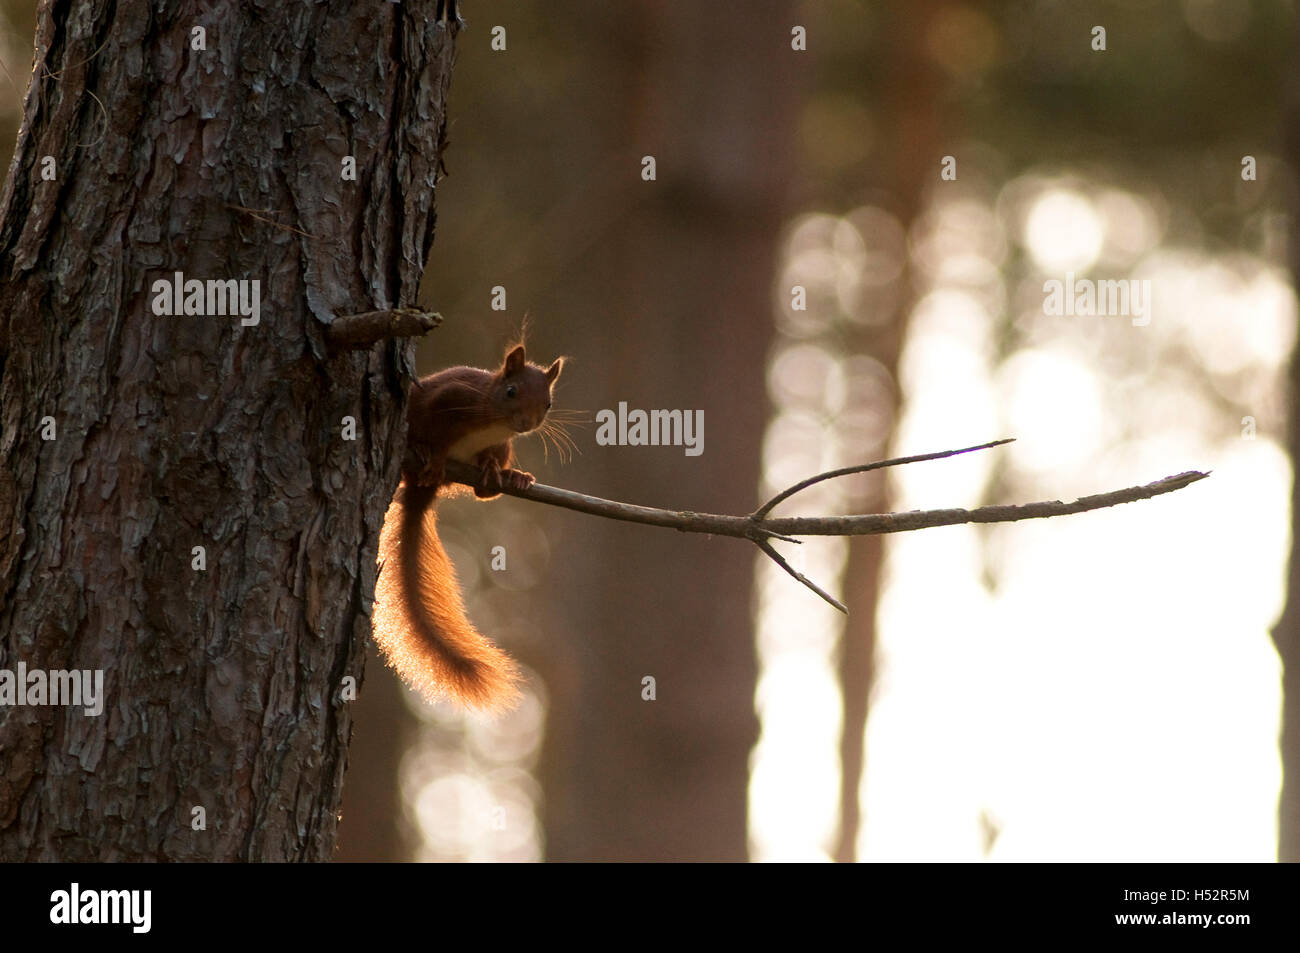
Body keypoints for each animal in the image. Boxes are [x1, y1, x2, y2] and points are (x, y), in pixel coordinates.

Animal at [373, 343, 564, 711]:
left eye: (548, 403)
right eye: (511, 391)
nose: (526, 423)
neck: (493, 424)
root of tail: (424, 491)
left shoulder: (497, 442)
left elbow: (487, 458)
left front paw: (491, 467)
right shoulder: (448, 399)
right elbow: (438, 436)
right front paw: (434, 453)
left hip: (504, 450)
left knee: (484, 489)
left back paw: (509, 477)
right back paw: (423, 453)